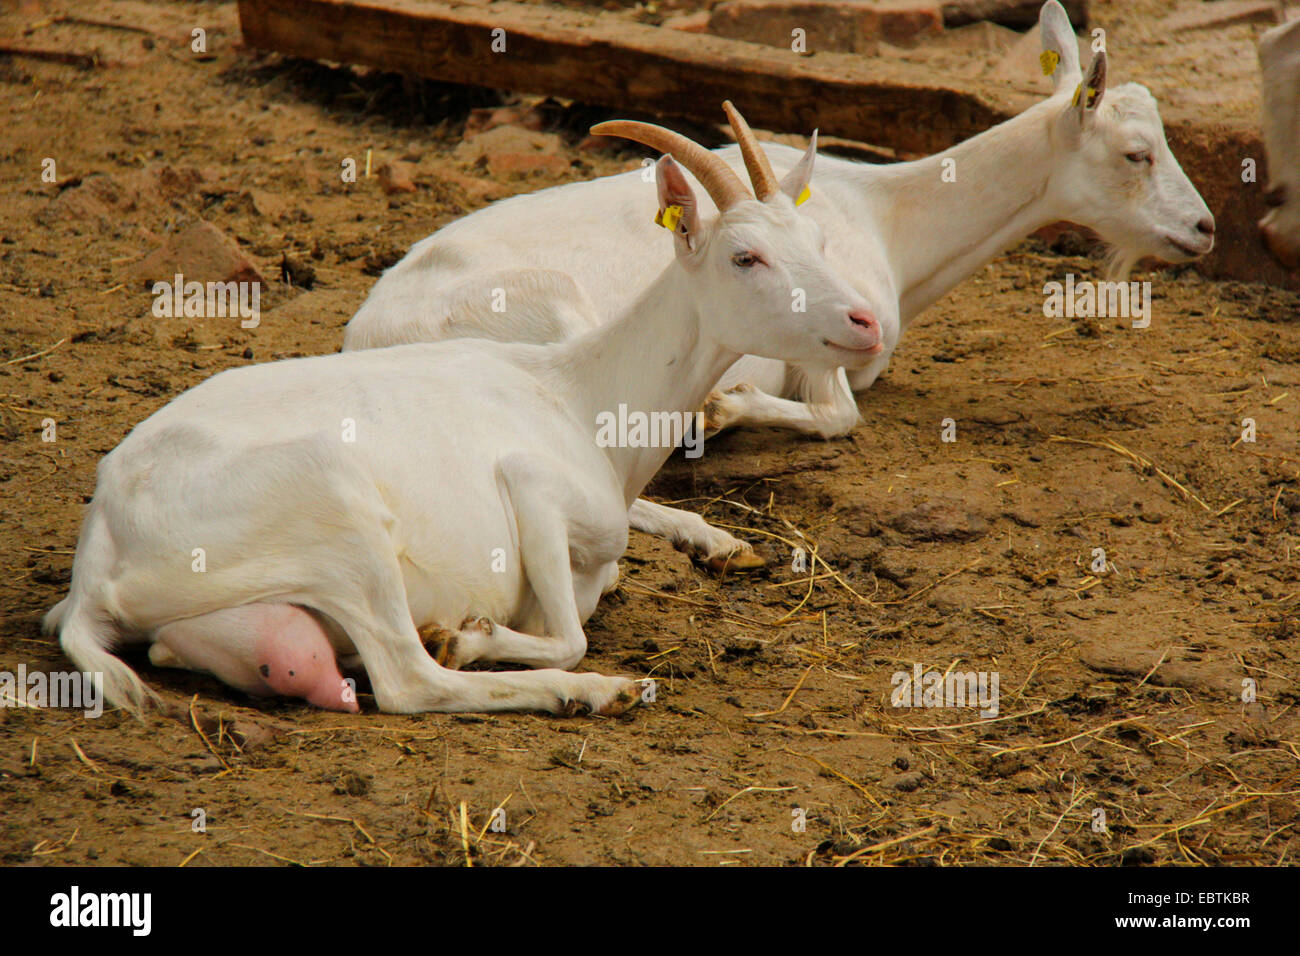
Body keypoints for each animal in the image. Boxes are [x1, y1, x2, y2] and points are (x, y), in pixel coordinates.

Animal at [44, 106, 882, 715]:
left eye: (817, 236)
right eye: (745, 257)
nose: (866, 321)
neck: (580, 398)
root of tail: (101, 554)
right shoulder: (534, 486)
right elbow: (566, 632)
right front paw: (471, 635)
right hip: (341, 515)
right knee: (409, 680)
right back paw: (593, 691)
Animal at [345, 0, 1214, 571]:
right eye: (1137, 153)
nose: (1205, 229)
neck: (886, 220)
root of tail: (364, 336)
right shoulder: (822, 351)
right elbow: (840, 417)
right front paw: (724, 409)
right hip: (551, 311)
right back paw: (711, 534)